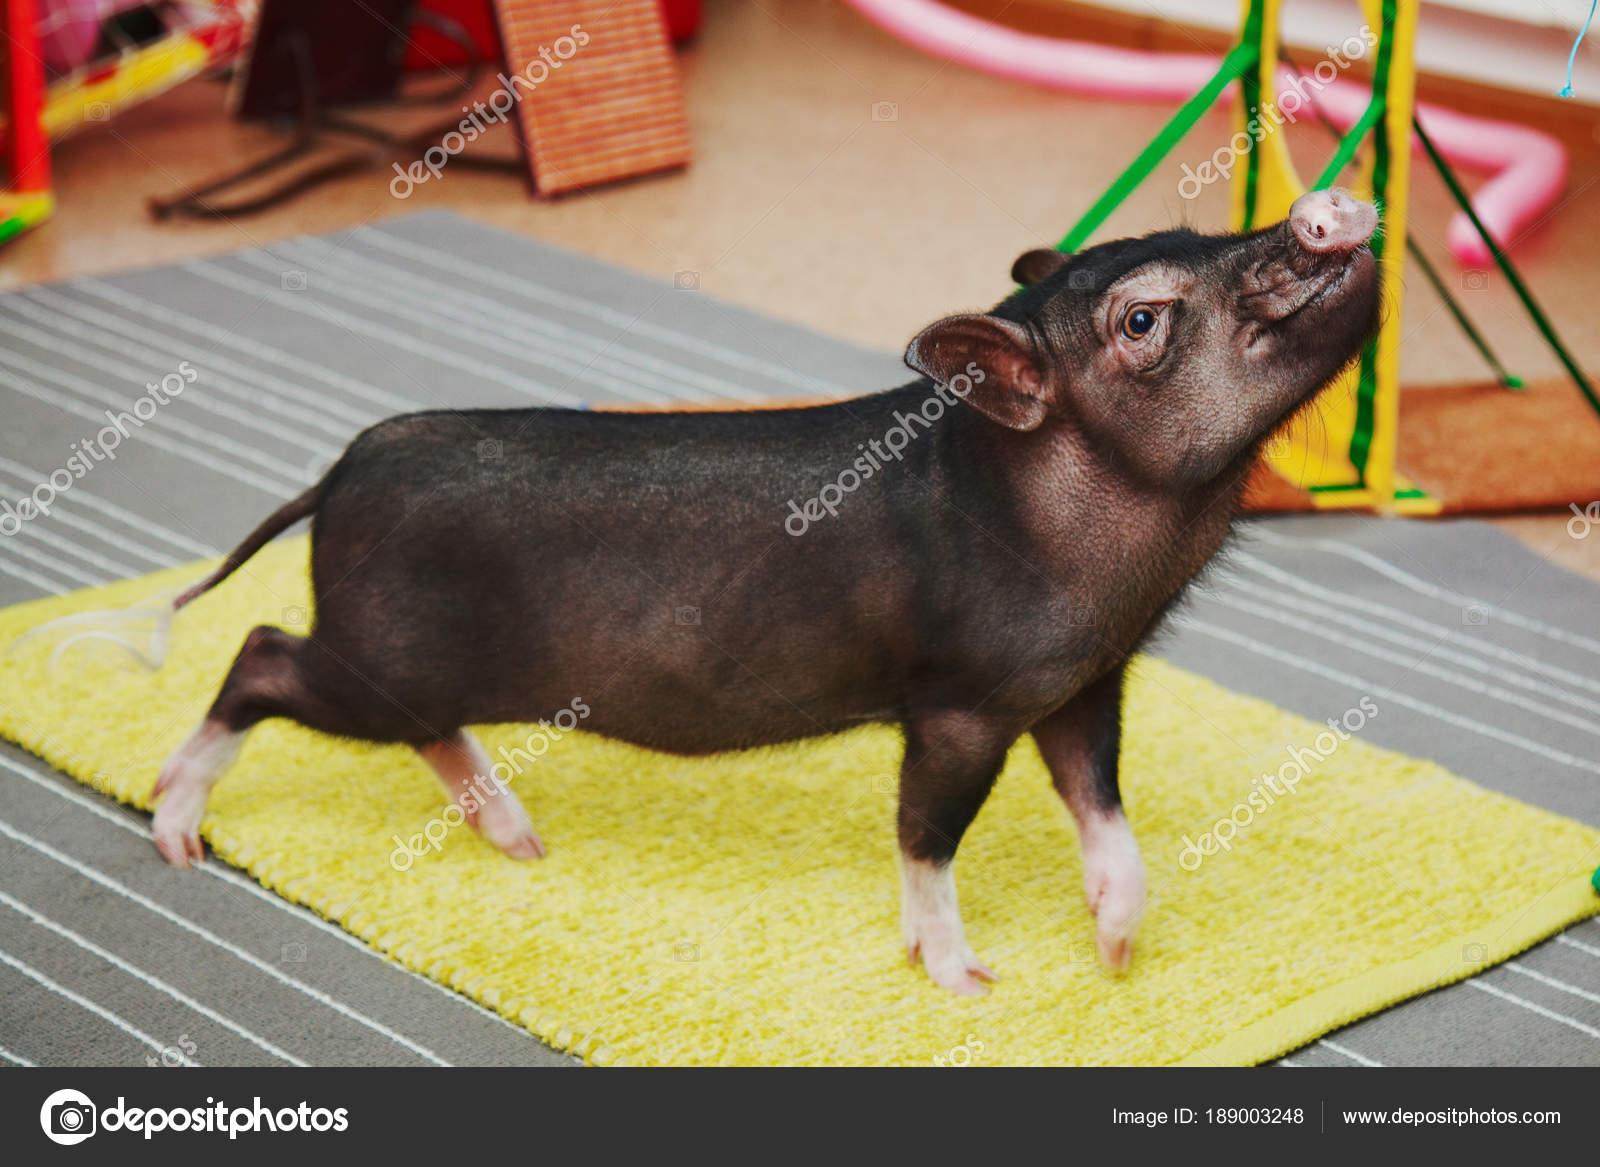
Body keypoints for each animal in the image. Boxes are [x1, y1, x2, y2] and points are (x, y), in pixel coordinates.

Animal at [145, 189, 1379, 995]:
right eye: (1143, 317)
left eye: (1204, 230)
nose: (1322, 214)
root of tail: (339, 472)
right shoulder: (957, 703)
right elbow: (925, 830)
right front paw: (963, 979)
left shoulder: (1079, 685)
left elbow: (1106, 813)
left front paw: (1117, 952)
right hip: (371, 657)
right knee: (260, 648)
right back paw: (176, 833)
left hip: (406, 669)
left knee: (413, 721)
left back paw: (521, 844)